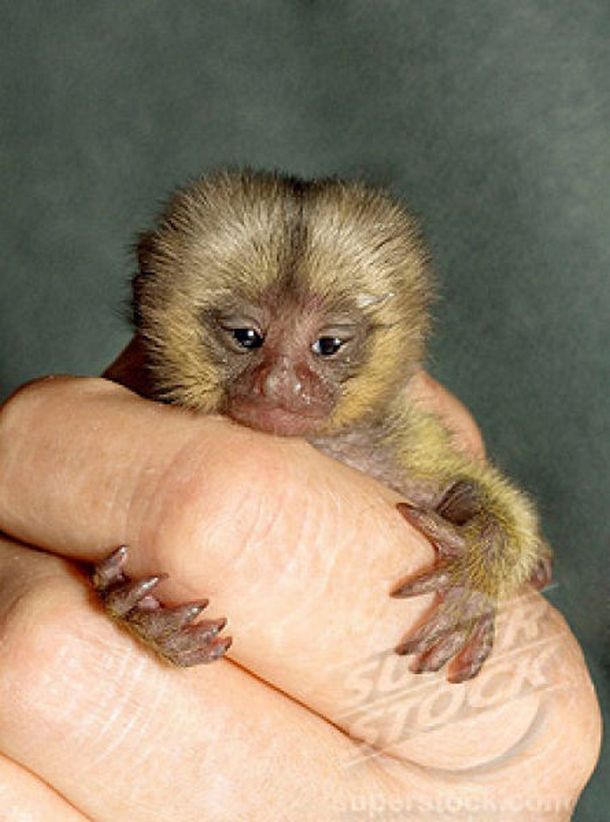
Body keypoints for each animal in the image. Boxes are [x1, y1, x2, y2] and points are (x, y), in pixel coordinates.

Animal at [95, 169, 552, 683]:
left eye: (328, 344)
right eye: (246, 337)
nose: (281, 382)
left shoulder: (395, 445)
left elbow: (483, 494)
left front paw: (475, 575)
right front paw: (140, 617)